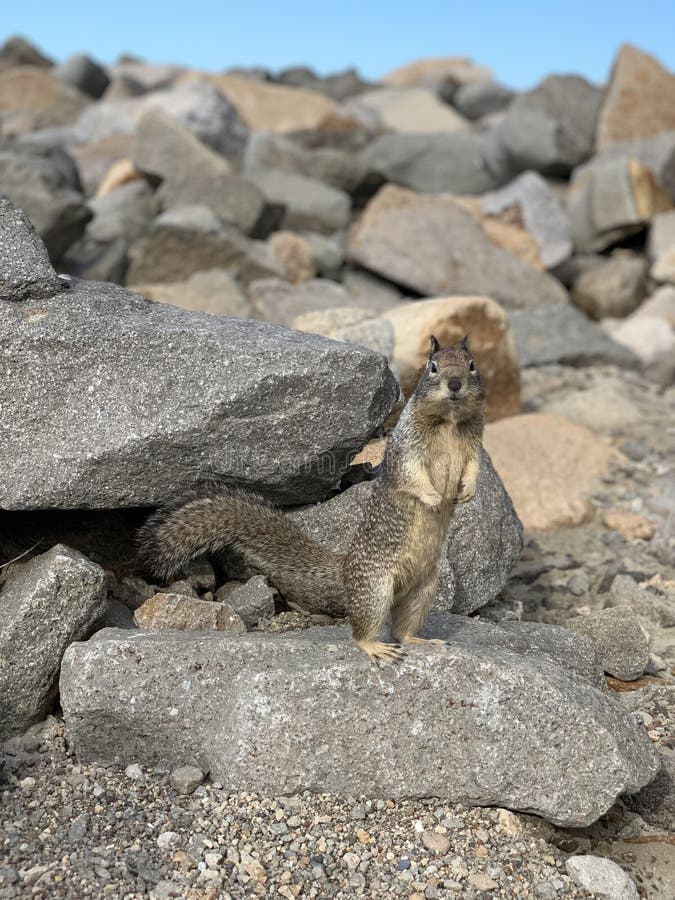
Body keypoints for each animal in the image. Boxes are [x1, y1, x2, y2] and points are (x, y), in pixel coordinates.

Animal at [138, 335, 486, 664]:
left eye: (471, 365)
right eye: (433, 367)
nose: (455, 384)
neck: (449, 422)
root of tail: (346, 568)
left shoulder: (473, 447)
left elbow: (473, 468)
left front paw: (466, 492)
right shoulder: (405, 449)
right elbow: (413, 474)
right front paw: (434, 497)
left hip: (423, 592)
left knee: (401, 629)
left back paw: (419, 640)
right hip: (375, 590)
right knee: (362, 630)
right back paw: (376, 647)